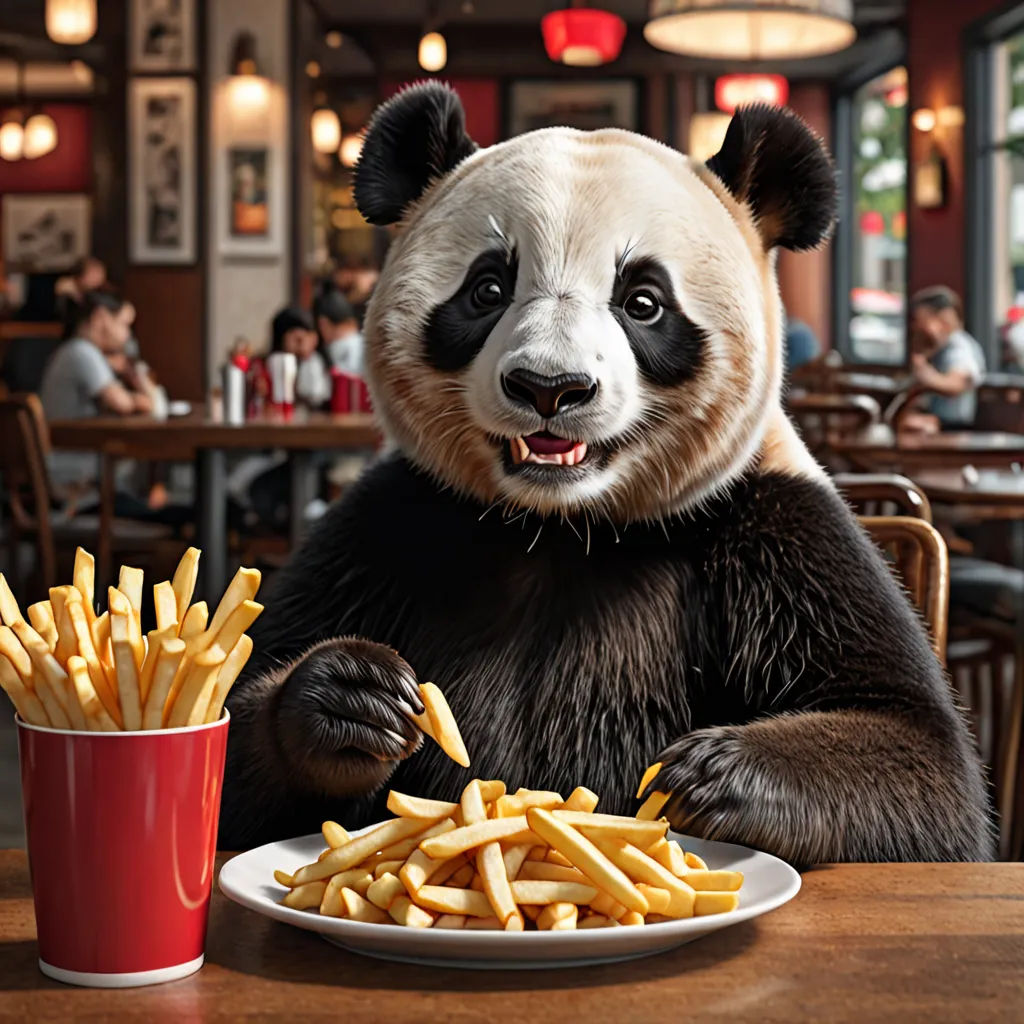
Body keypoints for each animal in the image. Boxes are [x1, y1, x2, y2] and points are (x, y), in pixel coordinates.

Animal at [221, 82, 992, 863]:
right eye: (487, 288)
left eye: (643, 301)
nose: (549, 388)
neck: (561, 524)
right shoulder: (388, 523)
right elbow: (233, 735)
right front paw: (354, 697)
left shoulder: (776, 528)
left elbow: (925, 765)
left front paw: (710, 774)